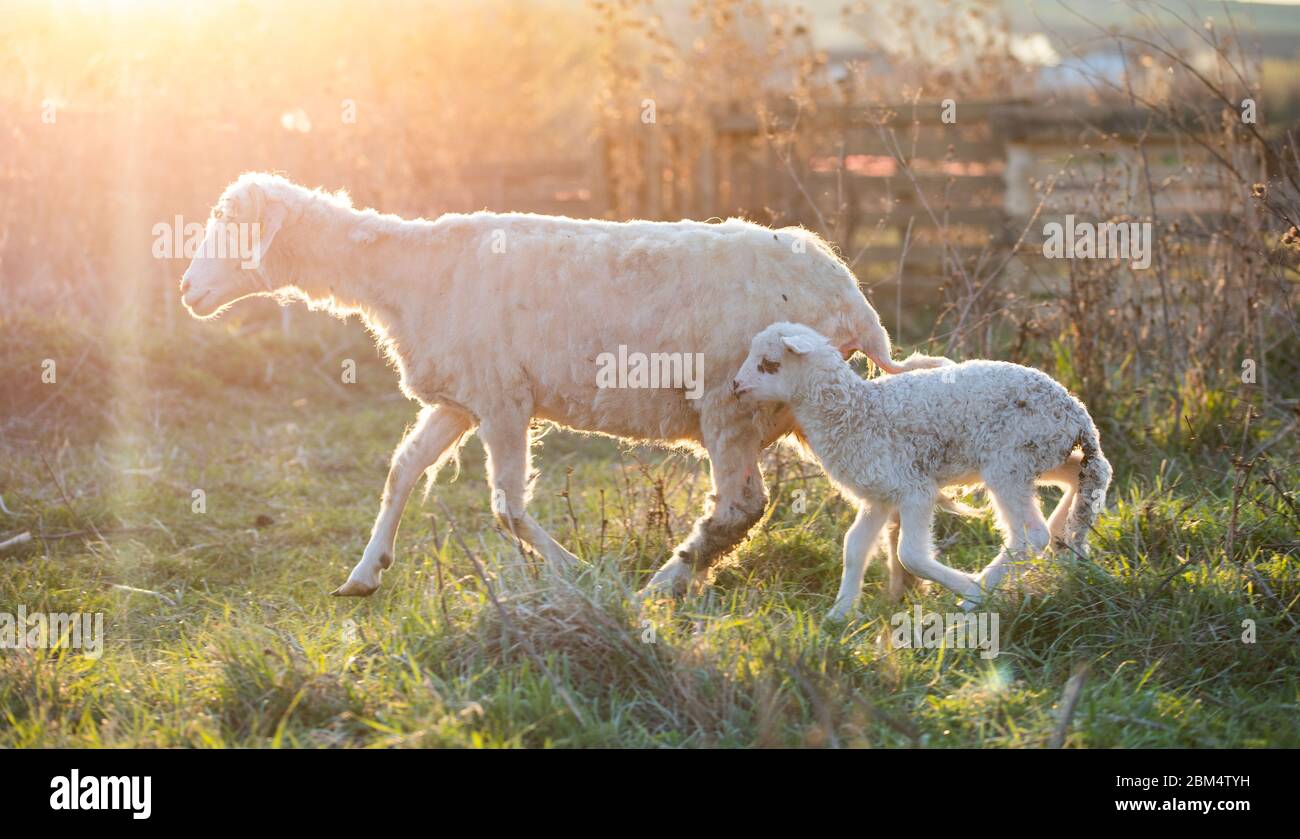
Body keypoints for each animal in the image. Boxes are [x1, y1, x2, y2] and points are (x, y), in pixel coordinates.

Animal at [179, 173, 950, 597]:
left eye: (233, 223)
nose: (187, 290)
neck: (408, 274)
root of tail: (853, 299)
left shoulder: (503, 400)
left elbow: (507, 509)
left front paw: (579, 574)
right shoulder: (461, 398)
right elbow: (402, 470)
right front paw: (366, 573)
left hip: (733, 405)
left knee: (739, 506)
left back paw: (663, 584)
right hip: (799, 408)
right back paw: (894, 587)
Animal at [731, 322, 1111, 620]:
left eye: (769, 364)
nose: (735, 386)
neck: (855, 412)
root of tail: (1076, 413)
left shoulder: (914, 489)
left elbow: (910, 555)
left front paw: (966, 587)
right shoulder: (879, 496)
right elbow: (854, 547)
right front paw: (839, 615)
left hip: (1009, 460)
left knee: (1030, 535)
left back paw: (981, 593)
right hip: (1043, 453)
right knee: (1086, 475)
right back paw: (1066, 536)